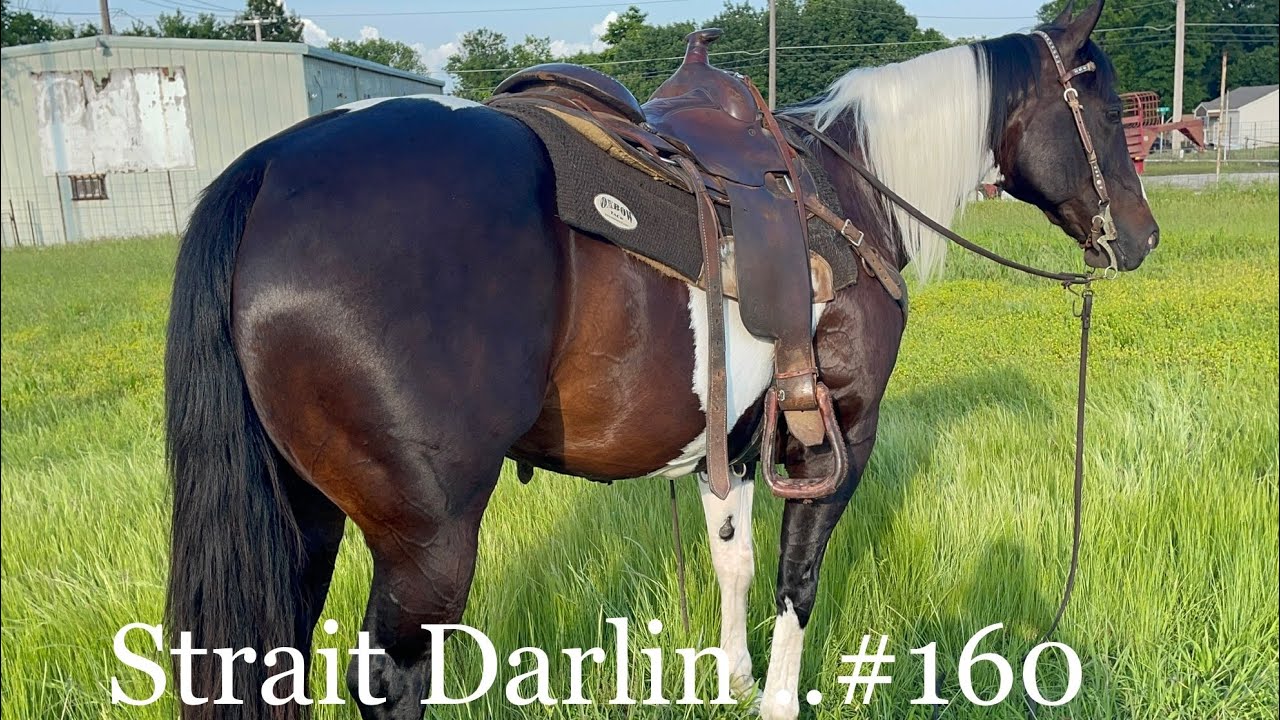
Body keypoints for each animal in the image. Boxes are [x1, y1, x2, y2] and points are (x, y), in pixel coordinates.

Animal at [163, 2, 1157, 718]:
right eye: (1112, 112)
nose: (1142, 237)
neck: (846, 184)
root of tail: (267, 170)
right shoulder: (838, 430)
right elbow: (798, 579)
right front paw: (778, 701)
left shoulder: (742, 437)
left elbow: (736, 562)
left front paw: (734, 682)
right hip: (428, 542)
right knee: (395, 682)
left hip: (304, 516)